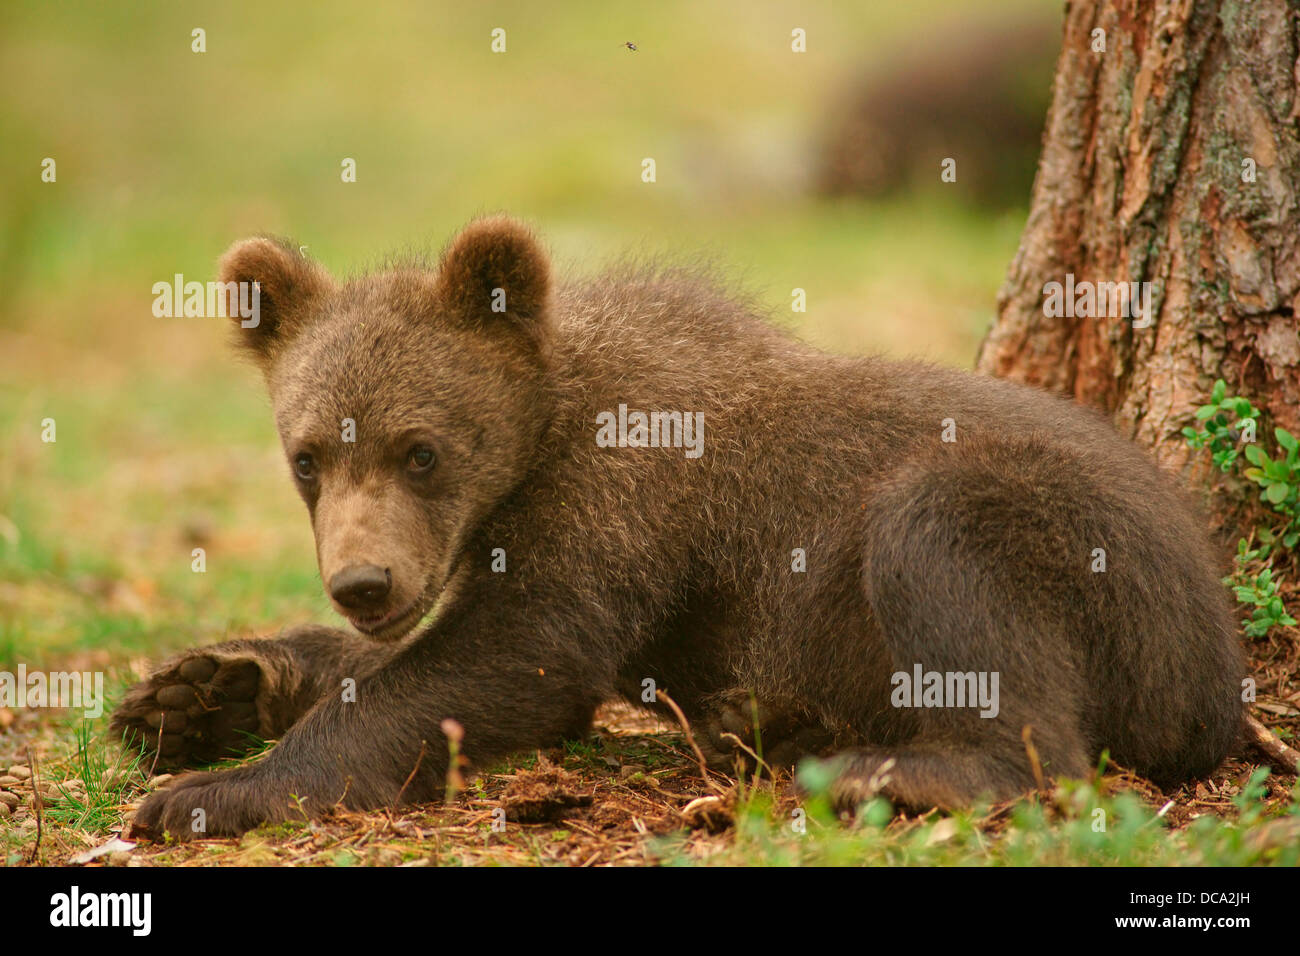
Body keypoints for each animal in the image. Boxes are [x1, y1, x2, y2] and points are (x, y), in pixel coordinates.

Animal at [112, 216, 1245, 840]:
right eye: (307, 456)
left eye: (418, 448)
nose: (364, 582)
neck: (544, 429)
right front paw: (195, 690)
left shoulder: (627, 502)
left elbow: (514, 655)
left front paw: (215, 791)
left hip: (1079, 557)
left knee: (956, 570)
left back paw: (888, 767)